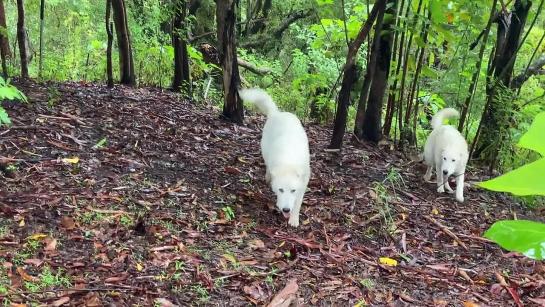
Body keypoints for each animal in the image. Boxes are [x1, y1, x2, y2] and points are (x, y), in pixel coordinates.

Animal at [239, 88, 310, 227]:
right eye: (281, 190)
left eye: (293, 190)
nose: (286, 210)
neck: (289, 160)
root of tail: (276, 113)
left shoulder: (304, 182)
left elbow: (298, 202)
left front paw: (294, 219)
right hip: (265, 151)